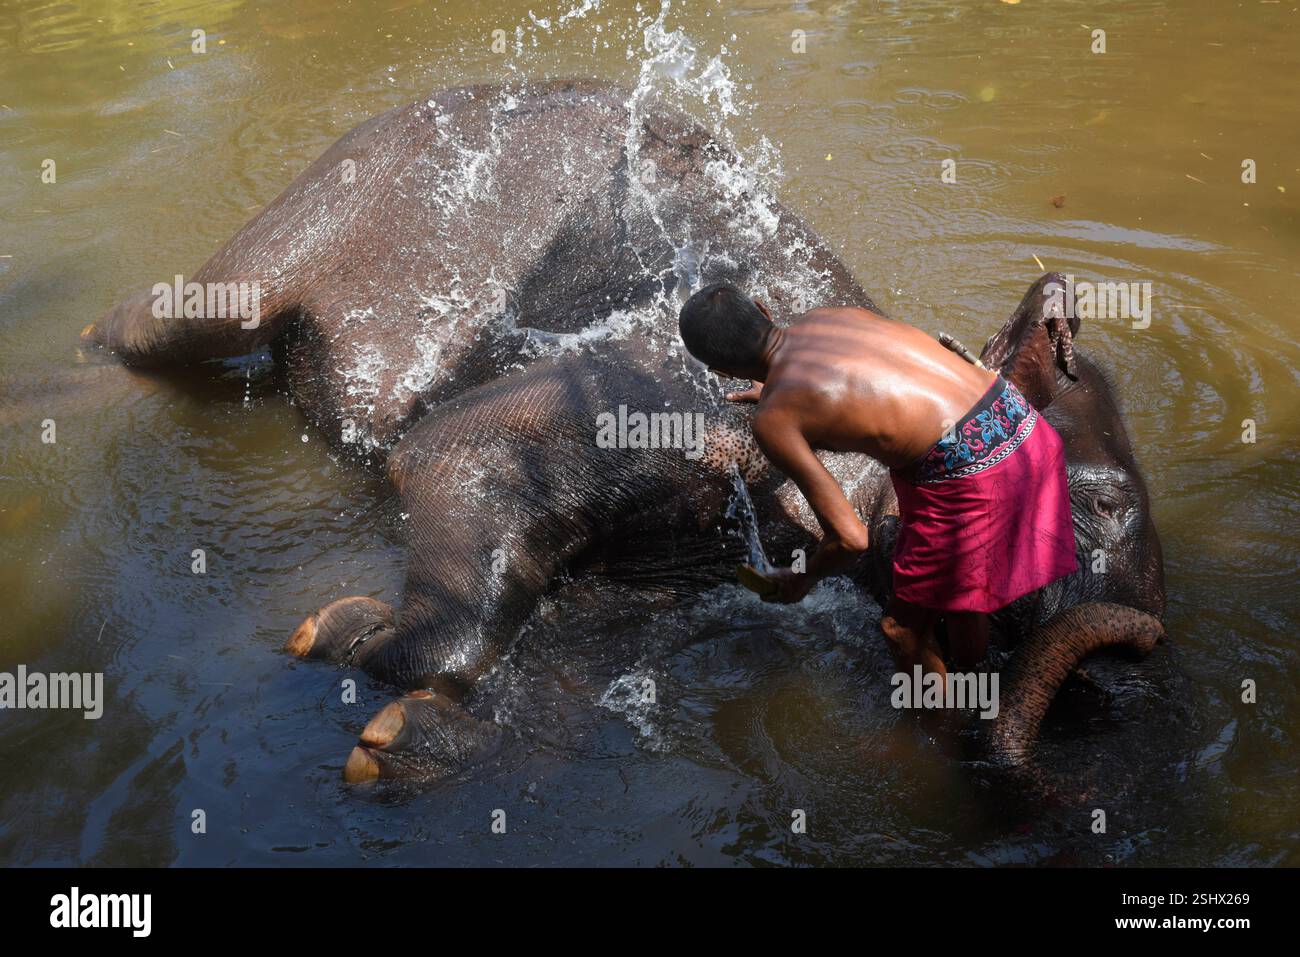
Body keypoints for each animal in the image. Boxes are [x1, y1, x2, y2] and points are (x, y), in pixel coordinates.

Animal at [86, 78, 1166, 785]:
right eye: (1093, 503)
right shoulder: (654, 395)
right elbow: (451, 462)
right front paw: (347, 639)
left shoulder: (680, 564)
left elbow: (580, 647)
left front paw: (388, 727)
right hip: (323, 203)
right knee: (169, 320)